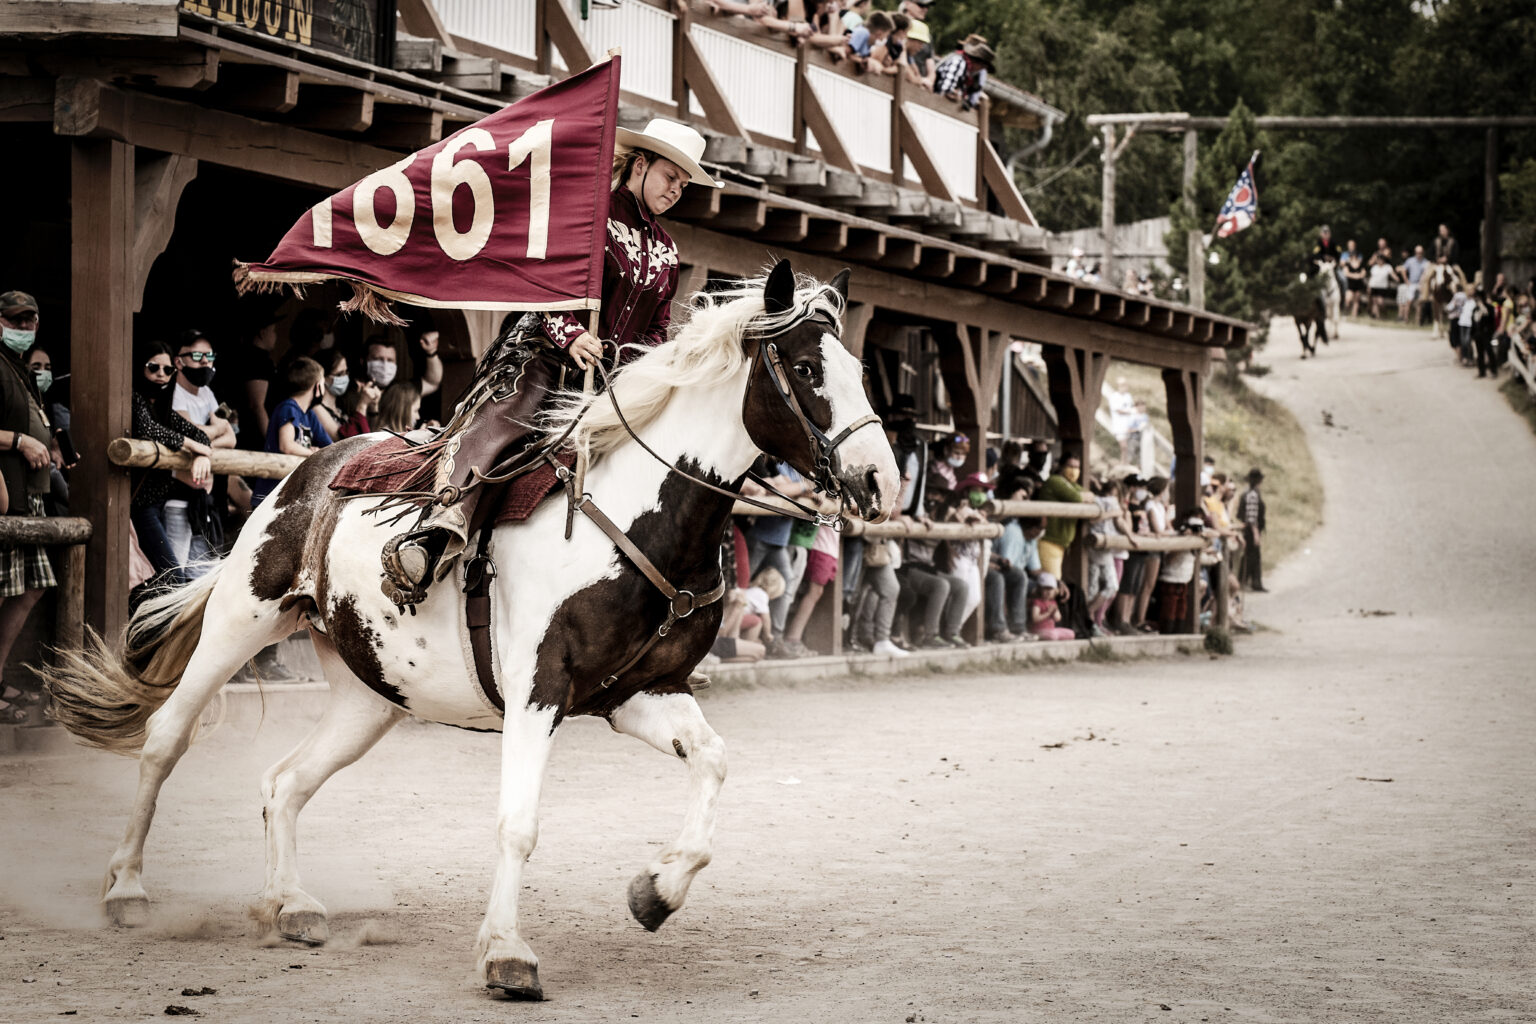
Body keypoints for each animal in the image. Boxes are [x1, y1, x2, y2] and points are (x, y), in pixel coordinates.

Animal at [42, 260, 897, 994]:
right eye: (809, 371)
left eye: (858, 370)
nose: (881, 480)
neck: (632, 515)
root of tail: (307, 473)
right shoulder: (538, 693)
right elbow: (518, 824)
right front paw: (507, 953)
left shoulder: (641, 695)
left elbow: (714, 764)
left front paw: (655, 890)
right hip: (242, 620)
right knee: (166, 740)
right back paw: (127, 890)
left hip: (369, 694)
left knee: (284, 781)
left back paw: (291, 905)